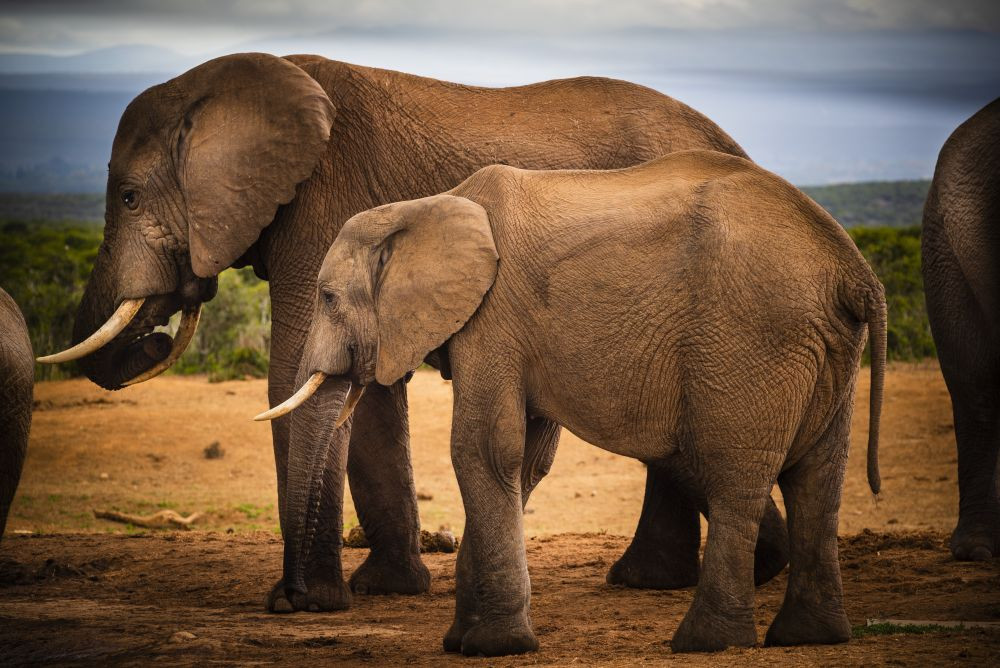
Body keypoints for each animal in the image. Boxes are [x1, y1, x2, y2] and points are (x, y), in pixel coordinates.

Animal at [37, 52, 788, 610]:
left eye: (129, 197)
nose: (159, 335)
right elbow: (360, 395)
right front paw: (386, 591)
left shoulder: (326, 201)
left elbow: (298, 377)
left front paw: (308, 604)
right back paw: (700, 575)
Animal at [261, 150, 886, 655]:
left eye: (327, 297)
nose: (291, 601)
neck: (423, 208)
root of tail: (854, 270)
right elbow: (526, 460)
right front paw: (463, 639)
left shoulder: (495, 317)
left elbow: (483, 450)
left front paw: (491, 647)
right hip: (826, 346)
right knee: (819, 478)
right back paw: (810, 637)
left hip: (751, 339)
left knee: (735, 478)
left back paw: (706, 643)